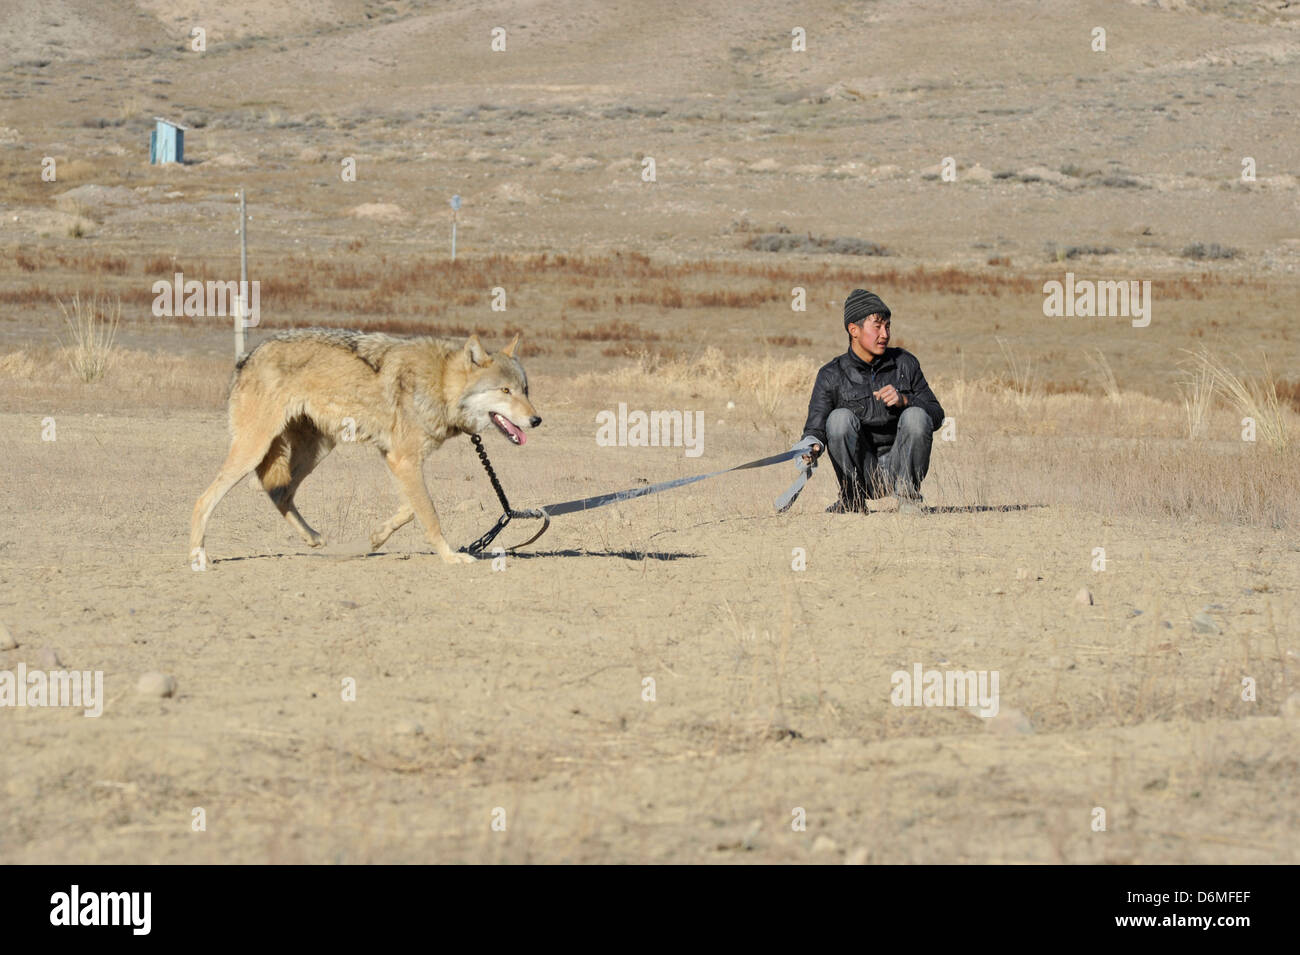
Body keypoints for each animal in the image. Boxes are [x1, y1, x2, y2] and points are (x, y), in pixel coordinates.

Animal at [189, 328, 541, 567]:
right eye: (505, 390)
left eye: (525, 390)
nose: (536, 420)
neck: (440, 384)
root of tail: (246, 357)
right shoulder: (404, 460)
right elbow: (429, 514)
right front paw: (451, 556)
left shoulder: (396, 459)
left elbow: (410, 510)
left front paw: (376, 537)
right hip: (254, 449)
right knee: (204, 499)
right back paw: (198, 556)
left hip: (317, 450)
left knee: (279, 491)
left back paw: (312, 537)